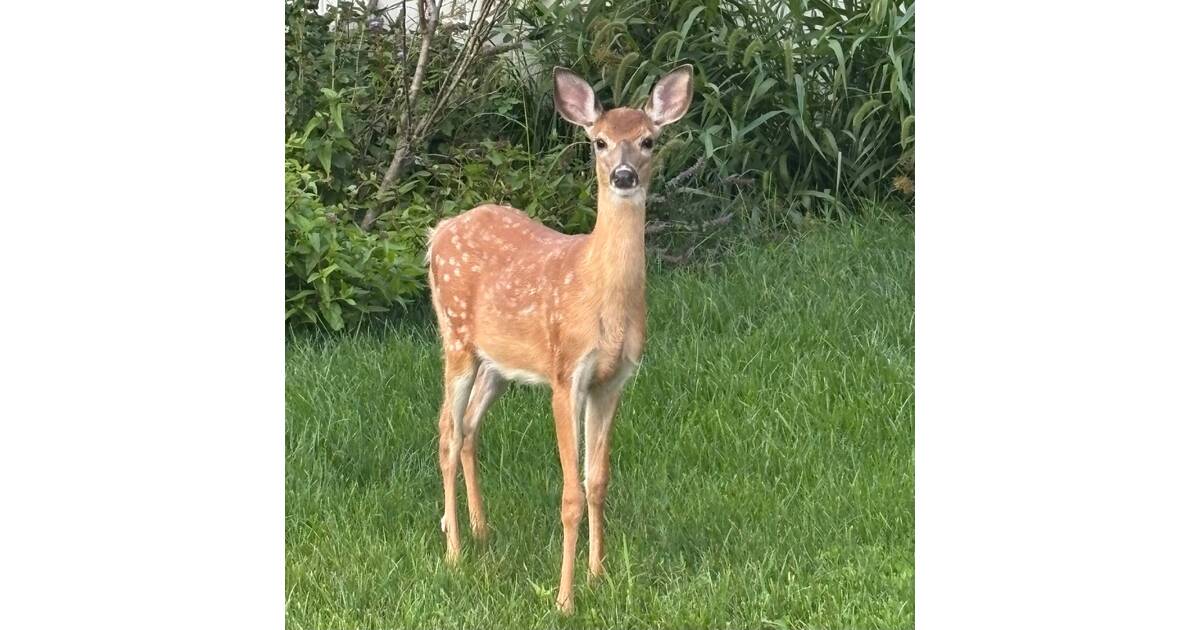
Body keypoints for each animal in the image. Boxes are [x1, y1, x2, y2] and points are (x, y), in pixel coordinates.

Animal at [425, 64, 693, 613]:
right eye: (599, 141)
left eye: (649, 140)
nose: (624, 176)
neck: (599, 295)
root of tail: (438, 230)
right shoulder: (566, 373)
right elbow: (570, 494)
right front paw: (565, 598)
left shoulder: (612, 381)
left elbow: (597, 482)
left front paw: (598, 575)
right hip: (455, 338)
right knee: (446, 431)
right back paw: (455, 550)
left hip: (497, 363)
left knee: (469, 428)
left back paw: (481, 531)